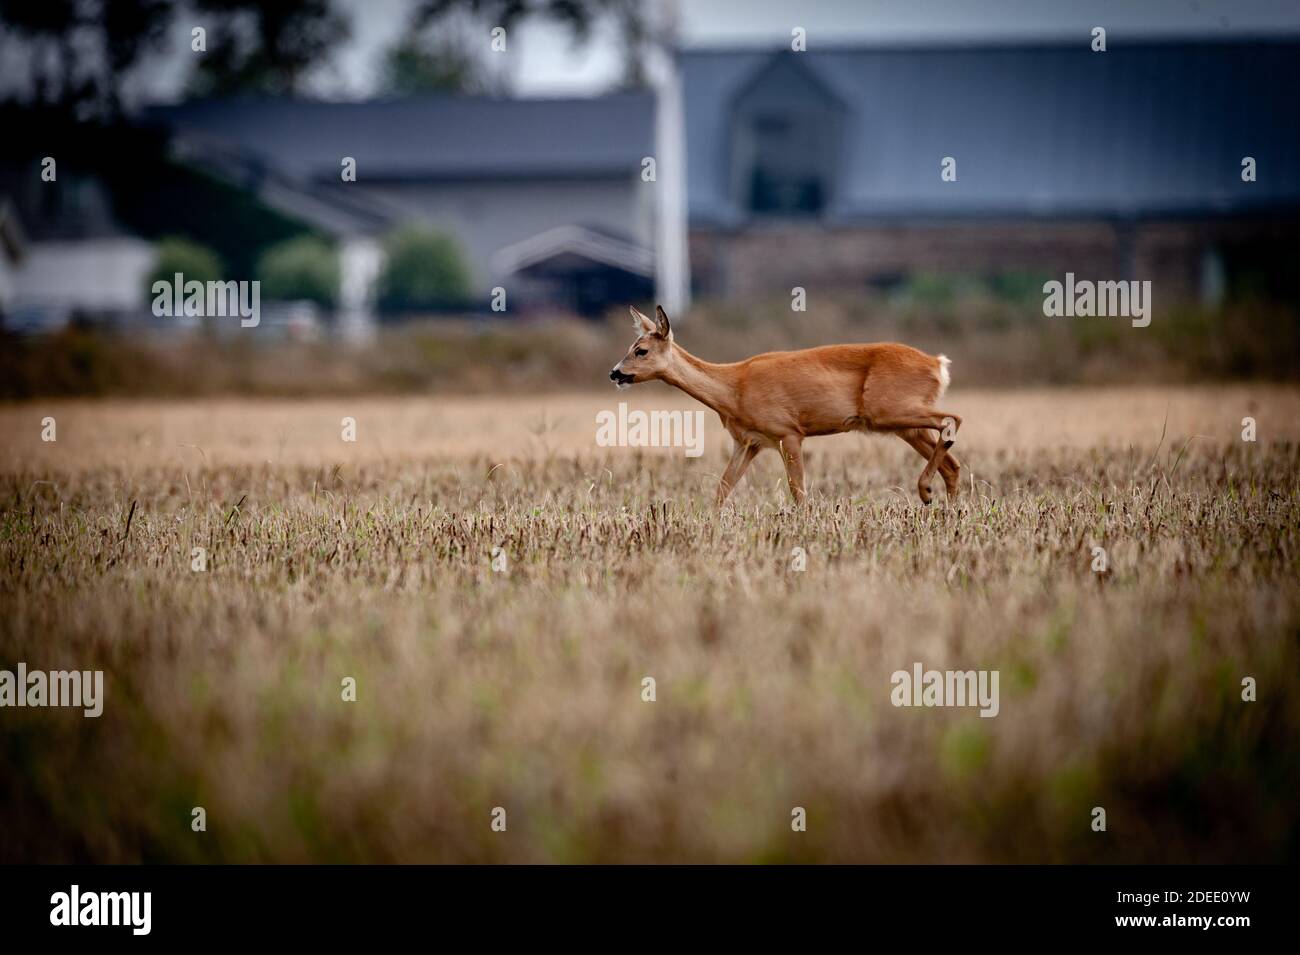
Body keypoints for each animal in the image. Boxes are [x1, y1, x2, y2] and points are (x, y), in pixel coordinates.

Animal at [609, 305, 963, 507]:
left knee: (953, 419)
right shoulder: (748, 442)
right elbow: (722, 490)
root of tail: (938, 364)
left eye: (640, 350)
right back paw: (944, 512)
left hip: (891, 409)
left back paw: (925, 491)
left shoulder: (788, 432)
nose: (615, 373)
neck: (733, 389)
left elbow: (799, 491)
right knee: (953, 464)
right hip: (902, 424)